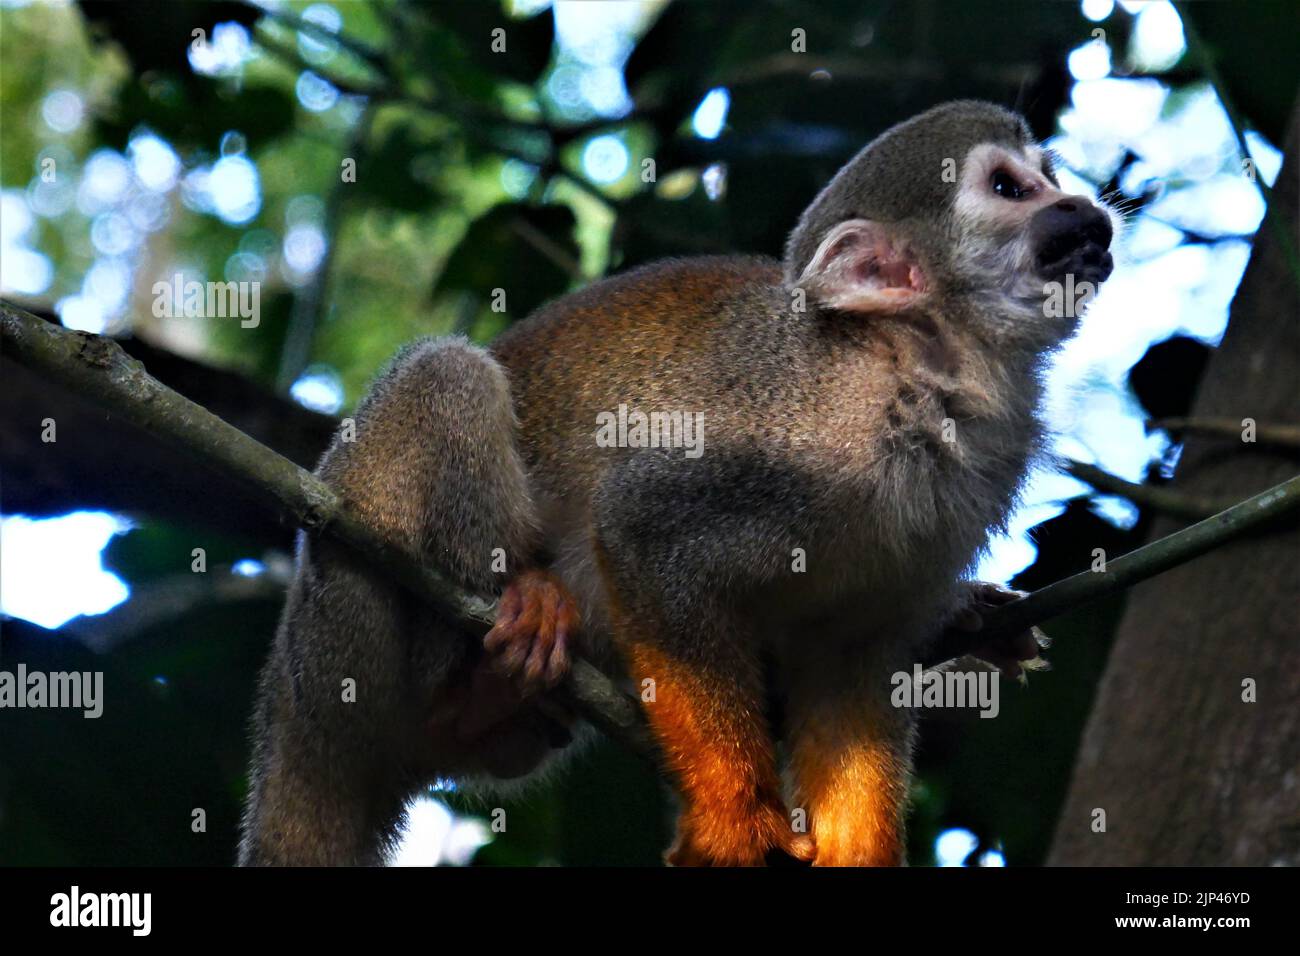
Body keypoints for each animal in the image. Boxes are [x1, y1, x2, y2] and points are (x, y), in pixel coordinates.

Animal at [239, 100, 1115, 867]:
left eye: (1049, 175)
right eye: (1010, 188)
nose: (1086, 213)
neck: (918, 373)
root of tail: (285, 701)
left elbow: (852, 655)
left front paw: (858, 851)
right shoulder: (800, 438)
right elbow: (644, 528)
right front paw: (735, 819)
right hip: (342, 631)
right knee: (448, 376)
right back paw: (474, 676)